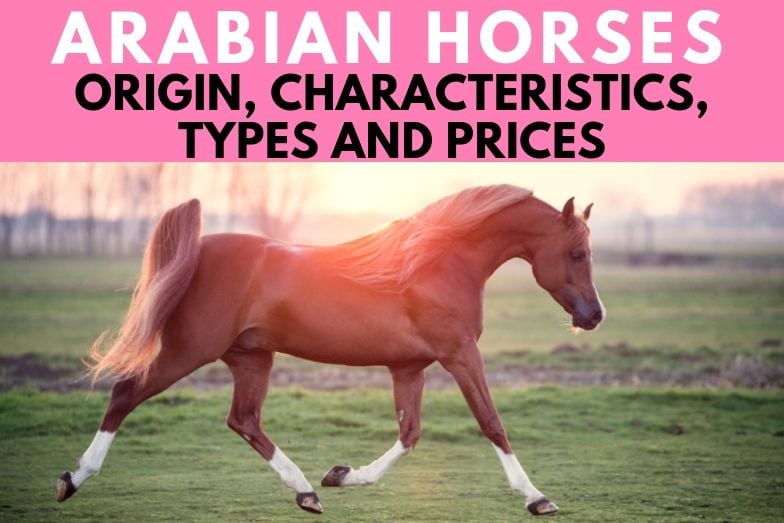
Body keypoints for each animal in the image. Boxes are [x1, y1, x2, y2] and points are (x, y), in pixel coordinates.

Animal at [56, 184, 605, 516]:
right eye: (577, 253)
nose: (594, 316)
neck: (437, 264)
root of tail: (199, 249)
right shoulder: (461, 356)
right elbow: (492, 423)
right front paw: (537, 498)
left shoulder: (409, 367)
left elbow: (409, 434)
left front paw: (341, 475)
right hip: (188, 350)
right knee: (126, 394)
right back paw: (73, 479)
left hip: (251, 358)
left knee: (244, 420)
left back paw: (307, 491)